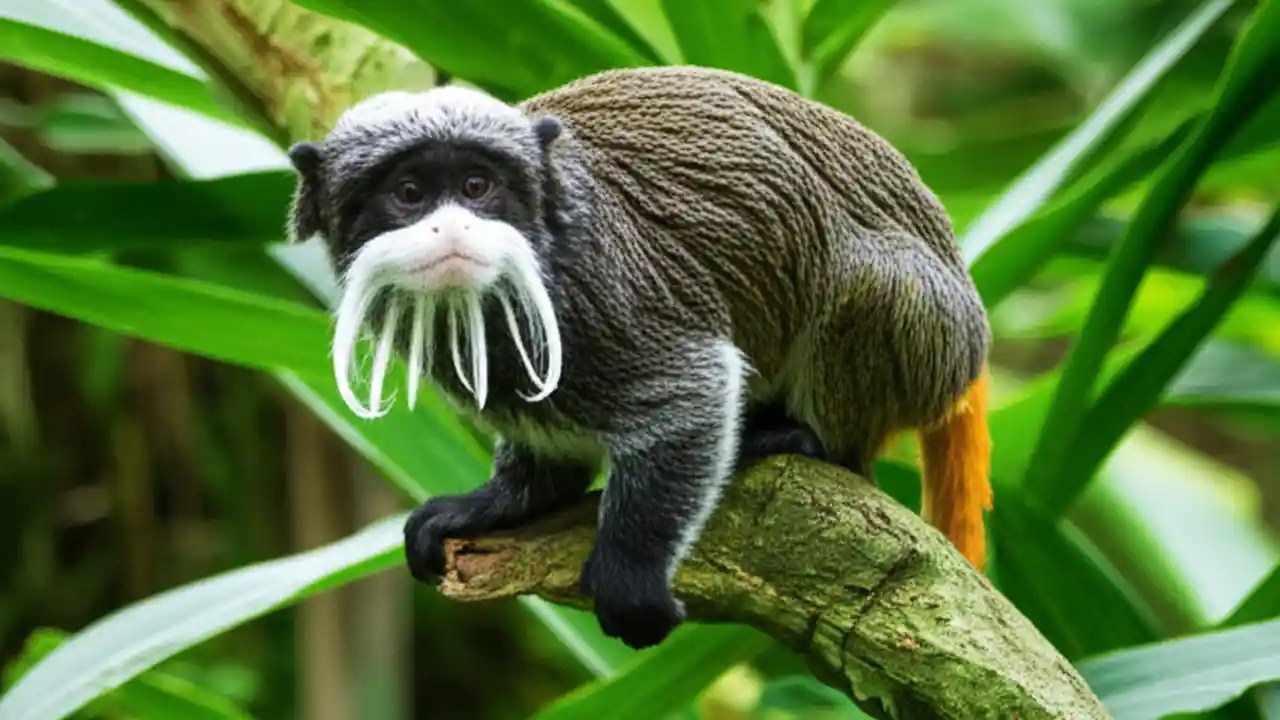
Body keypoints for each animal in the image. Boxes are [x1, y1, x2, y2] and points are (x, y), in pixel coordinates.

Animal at [285, 66, 992, 650]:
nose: (453, 227)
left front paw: (630, 578)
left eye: (476, 185)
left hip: (926, 330)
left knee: (870, 293)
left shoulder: (604, 300)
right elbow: (551, 457)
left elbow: (690, 397)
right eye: (409, 193)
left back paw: (810, 438)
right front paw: (504, 500)